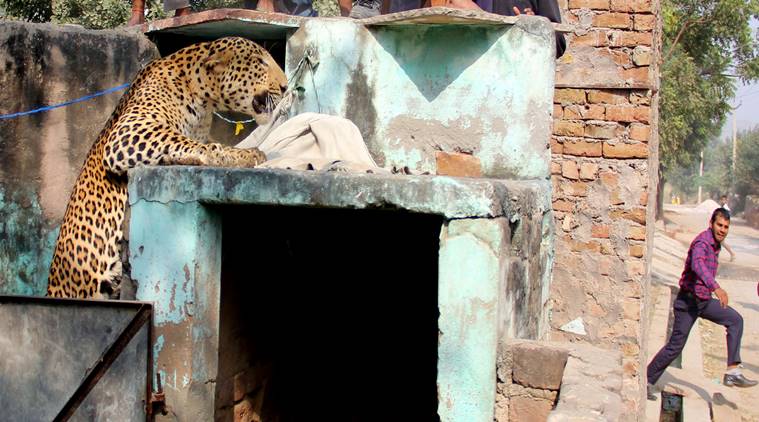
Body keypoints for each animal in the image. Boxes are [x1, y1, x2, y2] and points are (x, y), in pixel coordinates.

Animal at [47, 37, 287, 299]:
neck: (202, 97)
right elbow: (191, 143)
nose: (285, 87)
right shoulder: (128, 131)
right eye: (261, 62)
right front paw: (244, 155)